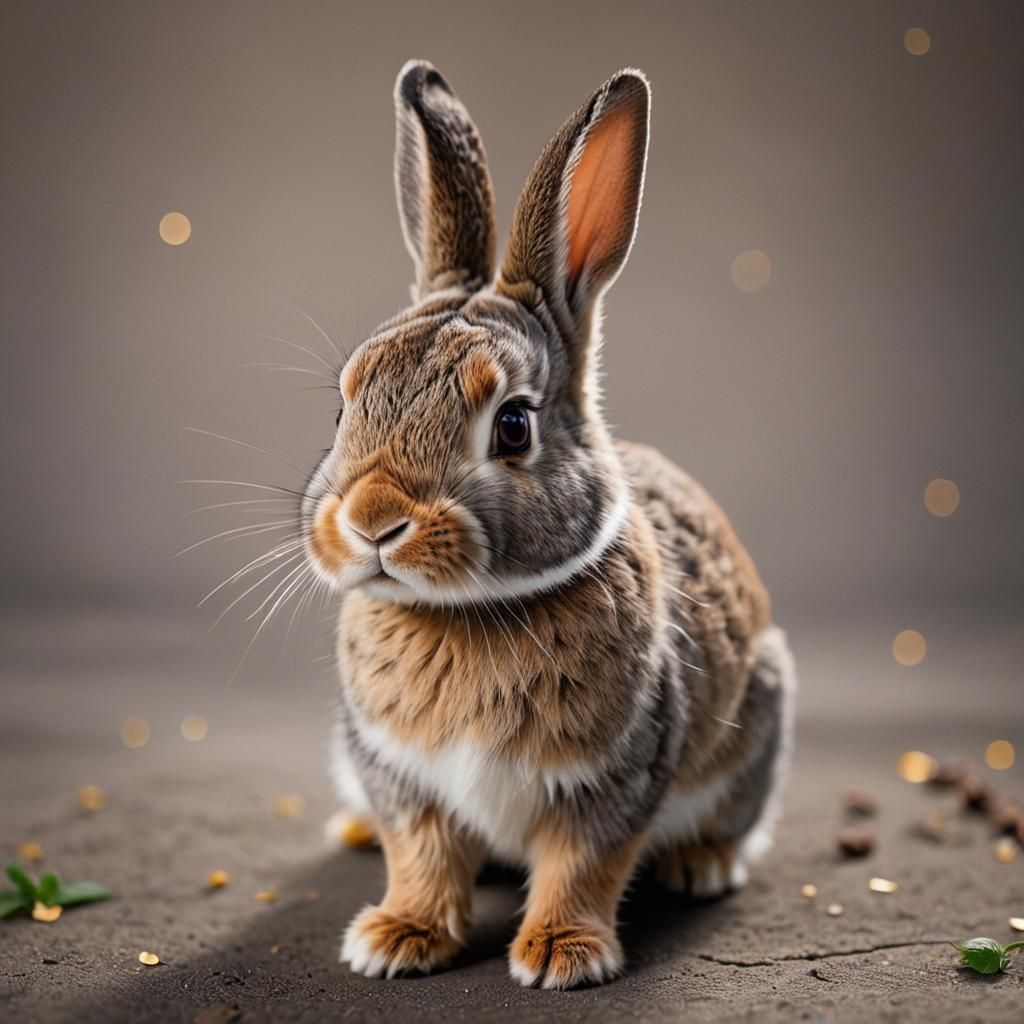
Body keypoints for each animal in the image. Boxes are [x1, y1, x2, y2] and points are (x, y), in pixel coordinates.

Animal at [302, 59, 796, 989]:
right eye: (346, 402)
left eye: (513, 426)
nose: (374, 520)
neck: (464, 613)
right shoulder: (404, 779)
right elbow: (420, 857)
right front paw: (395, 939)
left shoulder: (612, 776)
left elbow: (583, 865)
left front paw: (564, 956)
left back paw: (702, 864)